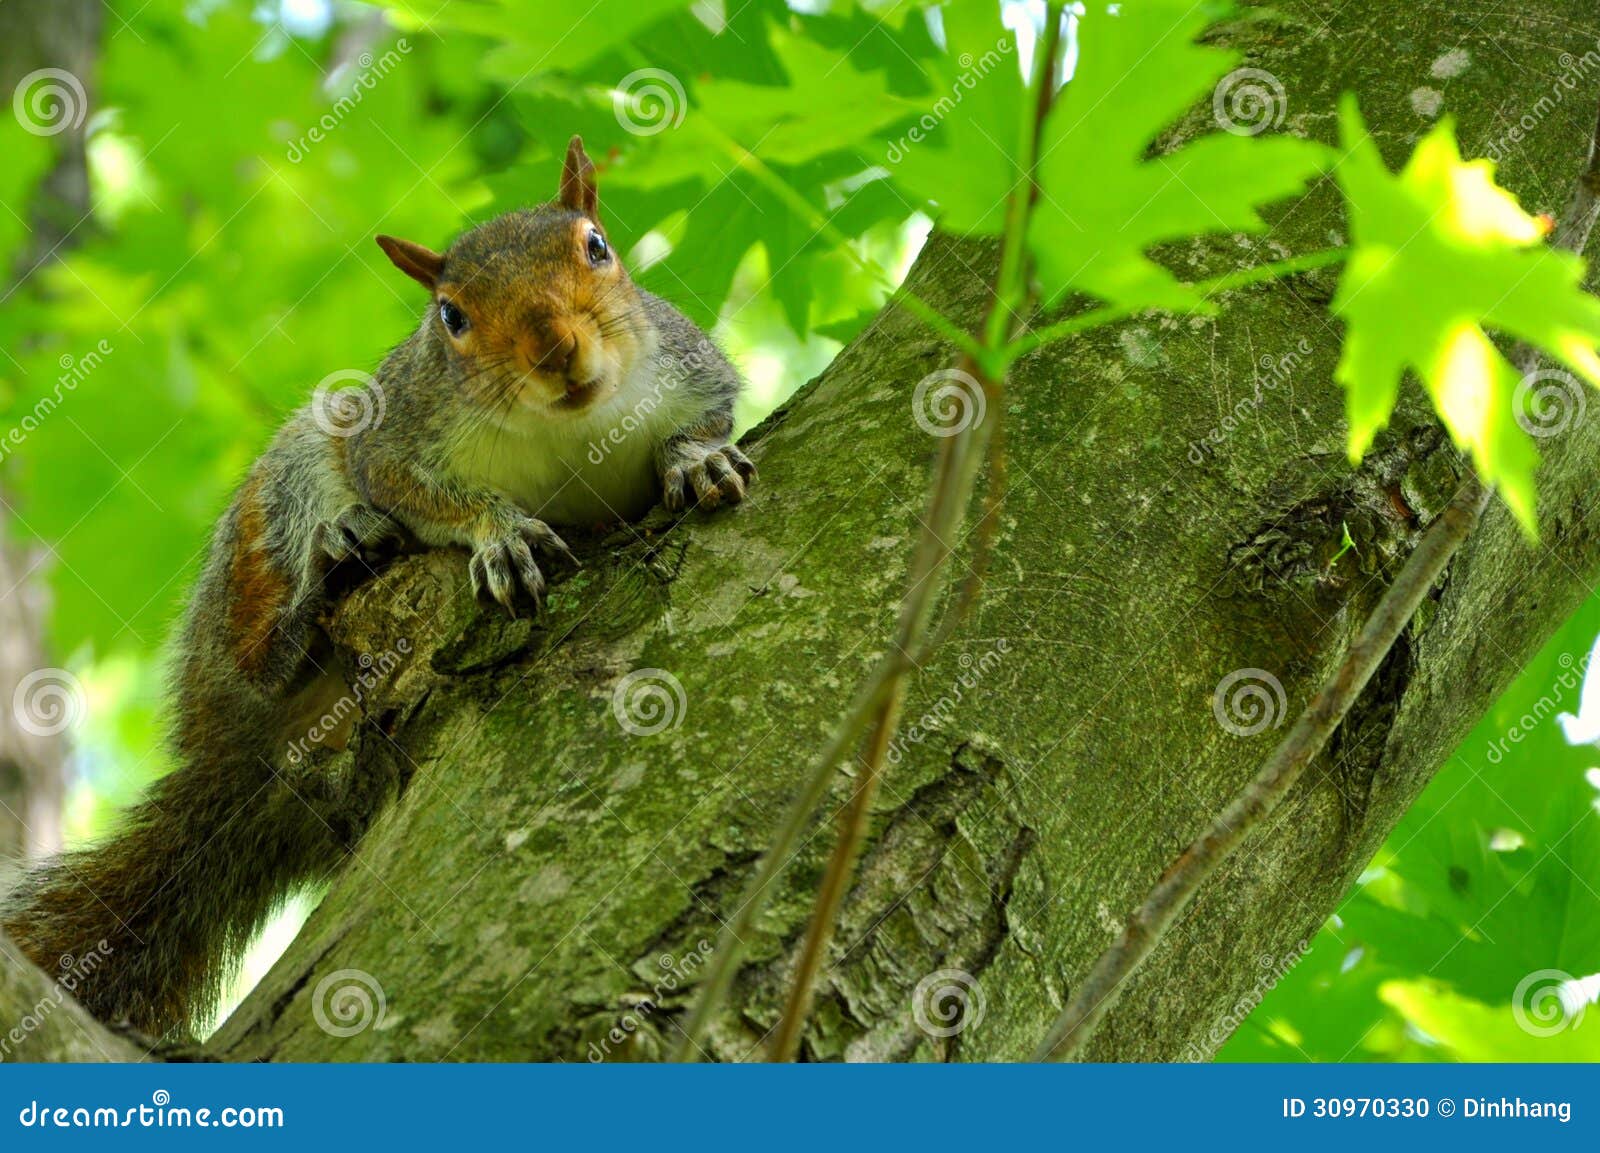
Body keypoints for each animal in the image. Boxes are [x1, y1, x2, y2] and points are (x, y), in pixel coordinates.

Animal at [0, 137, 755, 1038]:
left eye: (597, 247)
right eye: (450, 317)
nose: (554, 350)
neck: (567, 426)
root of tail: (253, 754)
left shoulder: (696, 368)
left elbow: (708, 419)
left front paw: (696, 460)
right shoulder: (390, 436)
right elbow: (422, 494)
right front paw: (499, 533)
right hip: (273, 519)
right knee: (267, 642)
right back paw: (330, 572)